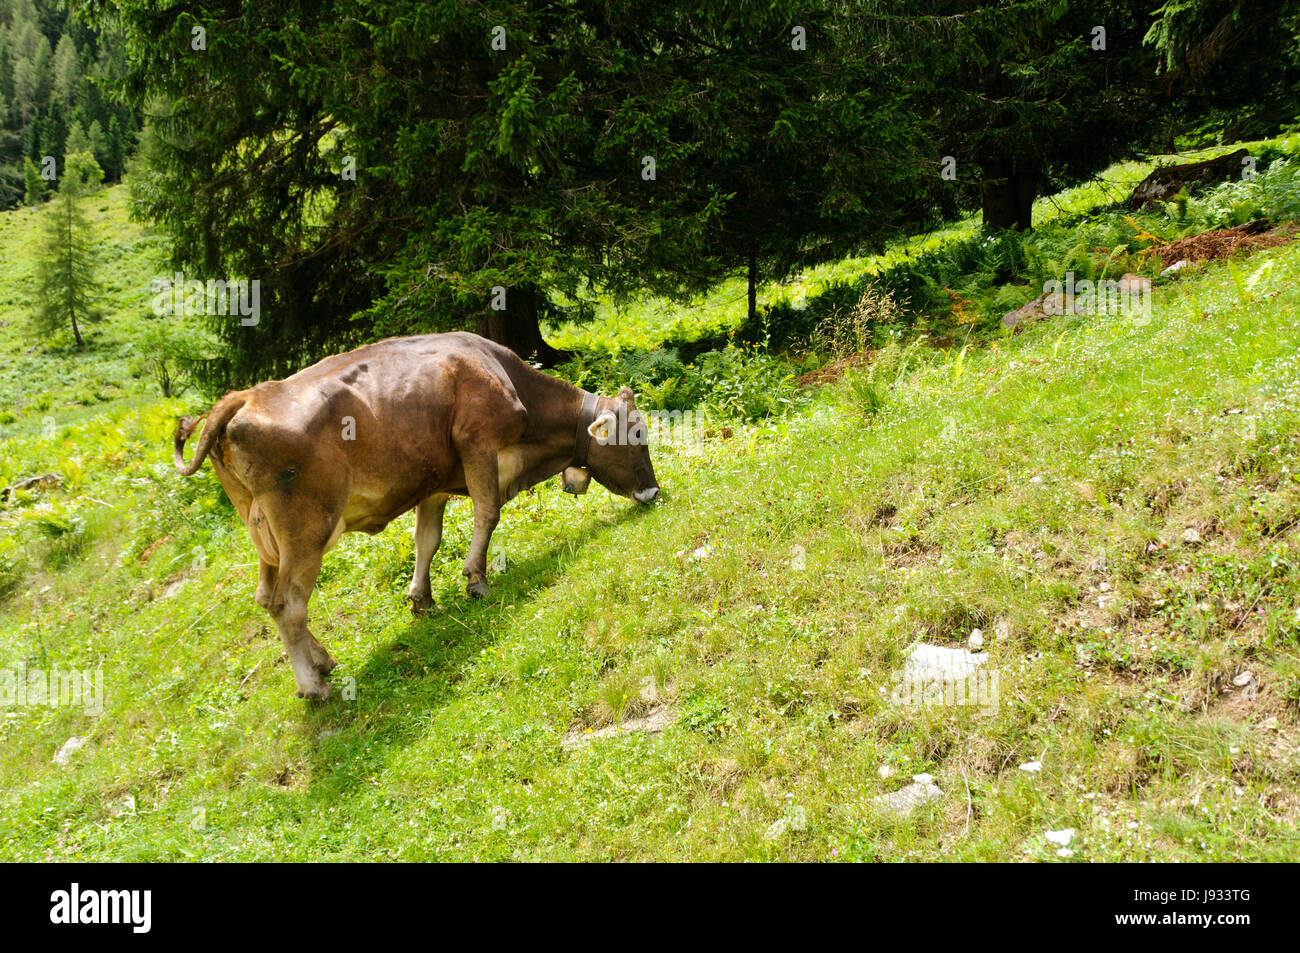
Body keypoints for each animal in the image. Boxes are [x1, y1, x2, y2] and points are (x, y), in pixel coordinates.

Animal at [173, 332, 660, 699]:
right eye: (637, 433)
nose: (654, 491)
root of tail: (242, 397)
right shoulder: (477, 444)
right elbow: (488, 512)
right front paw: (477, 579)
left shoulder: (435, 480)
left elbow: (427, 540)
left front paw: (421, 598)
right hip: (305, 530)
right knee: (288, 603)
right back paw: (314, 685)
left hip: (264, 536)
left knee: (266, 598)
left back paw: (323, 661)